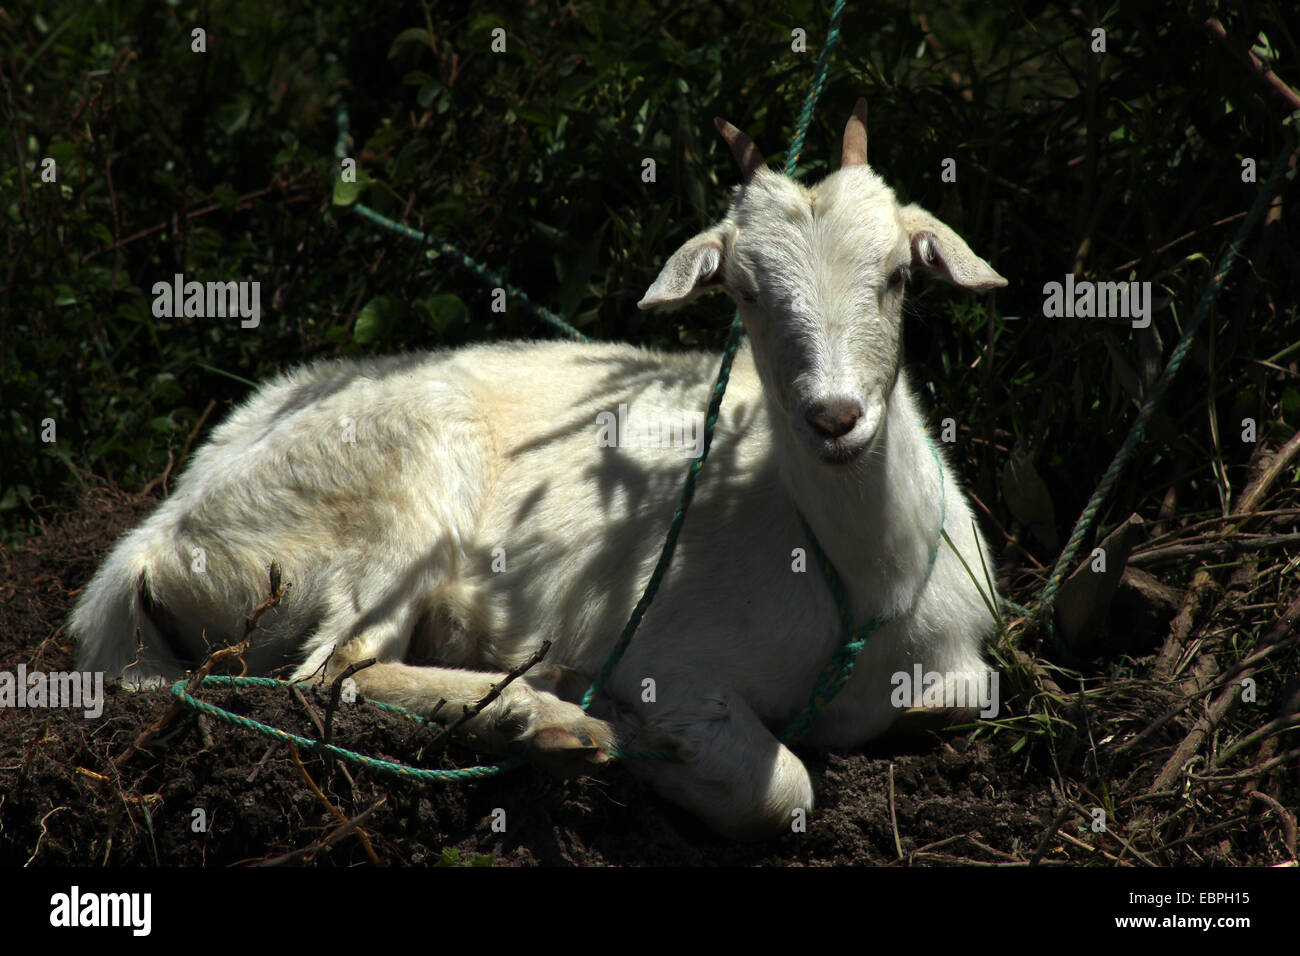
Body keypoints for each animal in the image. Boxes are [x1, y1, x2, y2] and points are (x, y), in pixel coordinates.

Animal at [71, 101, 1006, 839]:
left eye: (898, 276)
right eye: (743, 292)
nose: (835, 418)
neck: (863, 580)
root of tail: (144, 554)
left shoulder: (962, 660)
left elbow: (964, 697)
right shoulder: (667, 651)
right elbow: (783, 787)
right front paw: (638, 739)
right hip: (396, 487)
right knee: (331, 673)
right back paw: (550, 720)